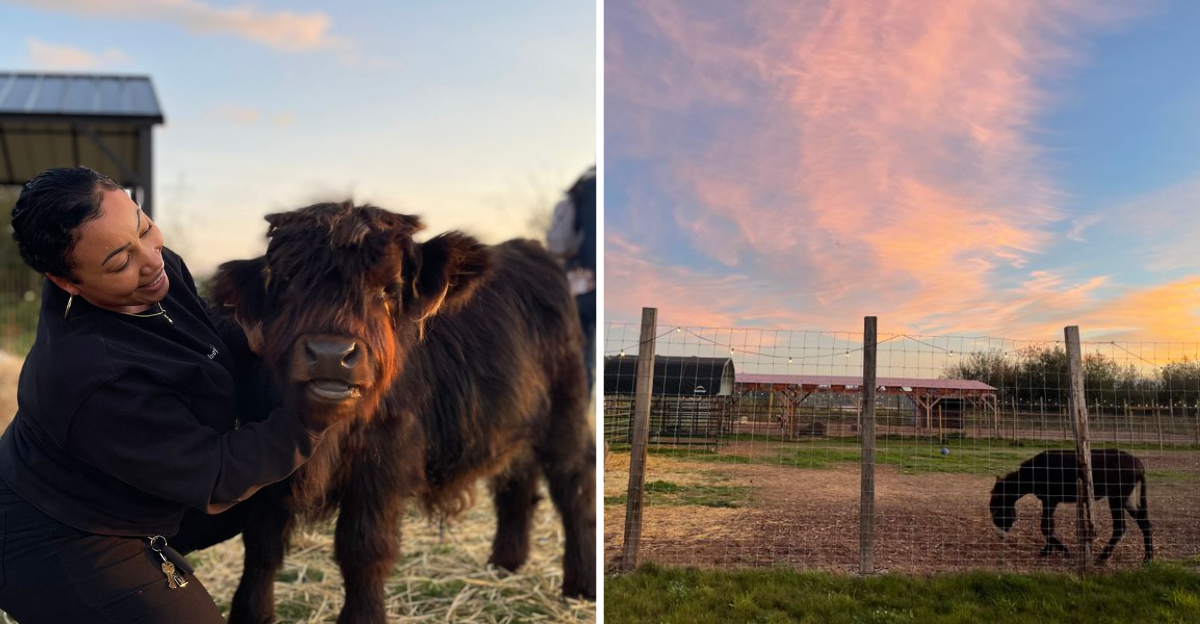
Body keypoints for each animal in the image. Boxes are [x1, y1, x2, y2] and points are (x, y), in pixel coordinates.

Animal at [209, 201, 595, 624]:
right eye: (287, 281)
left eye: (387, 289)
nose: (330, 354)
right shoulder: (263, 469)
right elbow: (261, 546)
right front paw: (250, 613)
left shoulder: (381, 468)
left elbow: (363, 550)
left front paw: (363, 617)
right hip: (510, 422)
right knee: (517, 482)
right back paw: (504, 564)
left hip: (566, 415)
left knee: (575, 485)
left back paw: (580, 585)